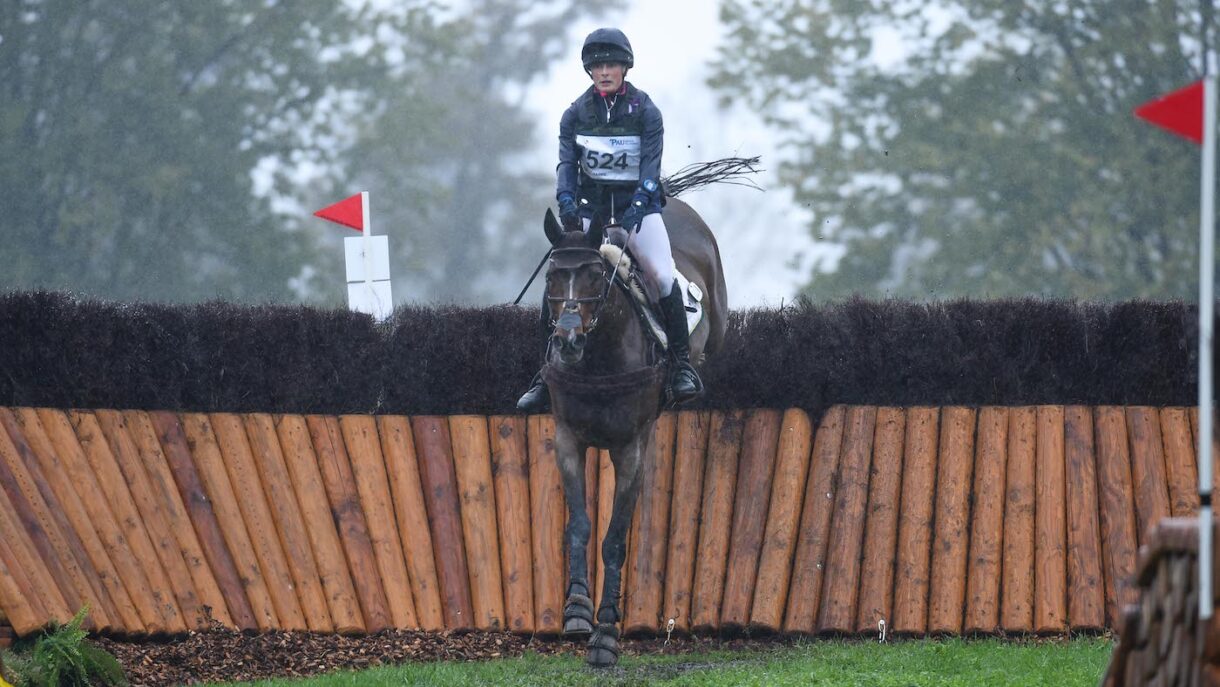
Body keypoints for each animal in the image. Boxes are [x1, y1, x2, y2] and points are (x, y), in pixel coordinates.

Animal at [537, 196, 727, 667]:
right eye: (552, 276)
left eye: (594, 275)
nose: (567, 341)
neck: (598, 358)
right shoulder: (568, 441)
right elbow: (580, 525)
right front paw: (577, 610)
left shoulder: (629, 450)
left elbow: (616, 540)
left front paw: (605, 635)